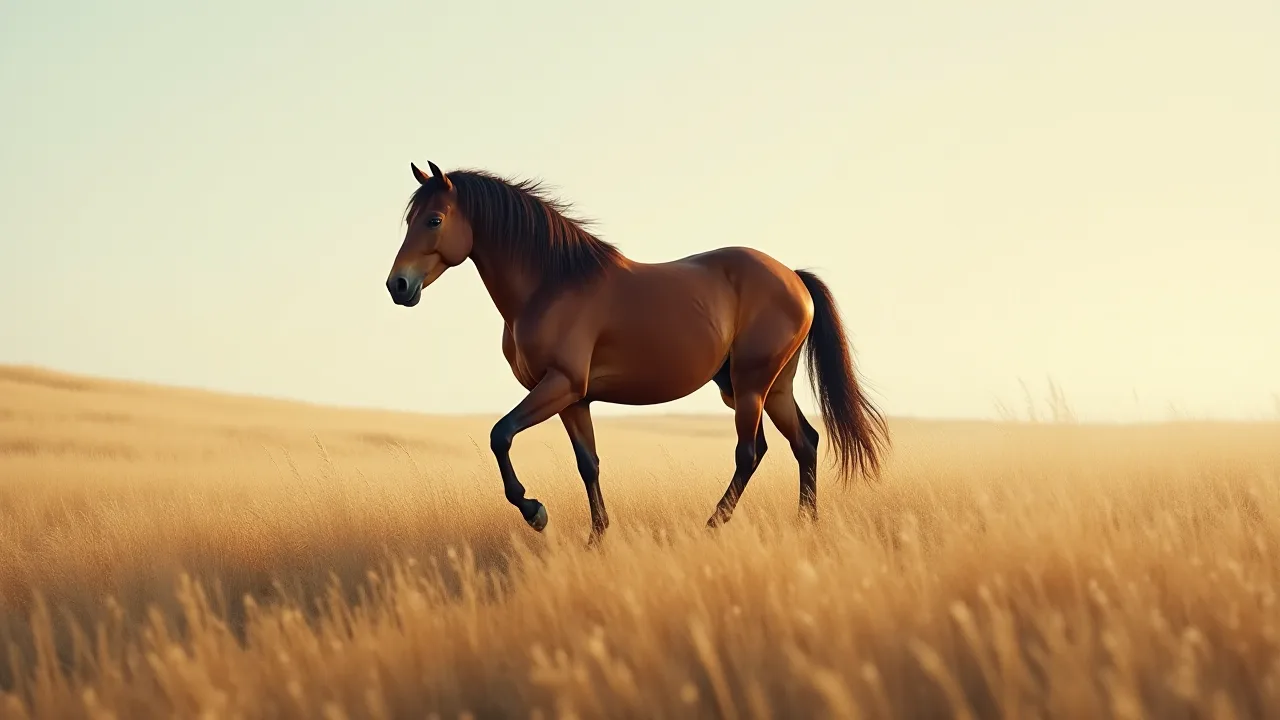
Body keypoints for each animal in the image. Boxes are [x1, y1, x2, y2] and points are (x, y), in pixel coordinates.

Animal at [385, 161, 890, 544]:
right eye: (410, 220)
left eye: (434, 220)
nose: (398, 285)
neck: (552, 283)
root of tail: (794, 278)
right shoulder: (573, 399)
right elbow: (587, 464)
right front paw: (596, 538)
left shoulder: (560, 384)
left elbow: (500, 435)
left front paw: (535, 511)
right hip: (770, 387)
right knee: (805, 442)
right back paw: (805, 524)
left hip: (750, 387)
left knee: (751, 452)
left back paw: (712, 525)